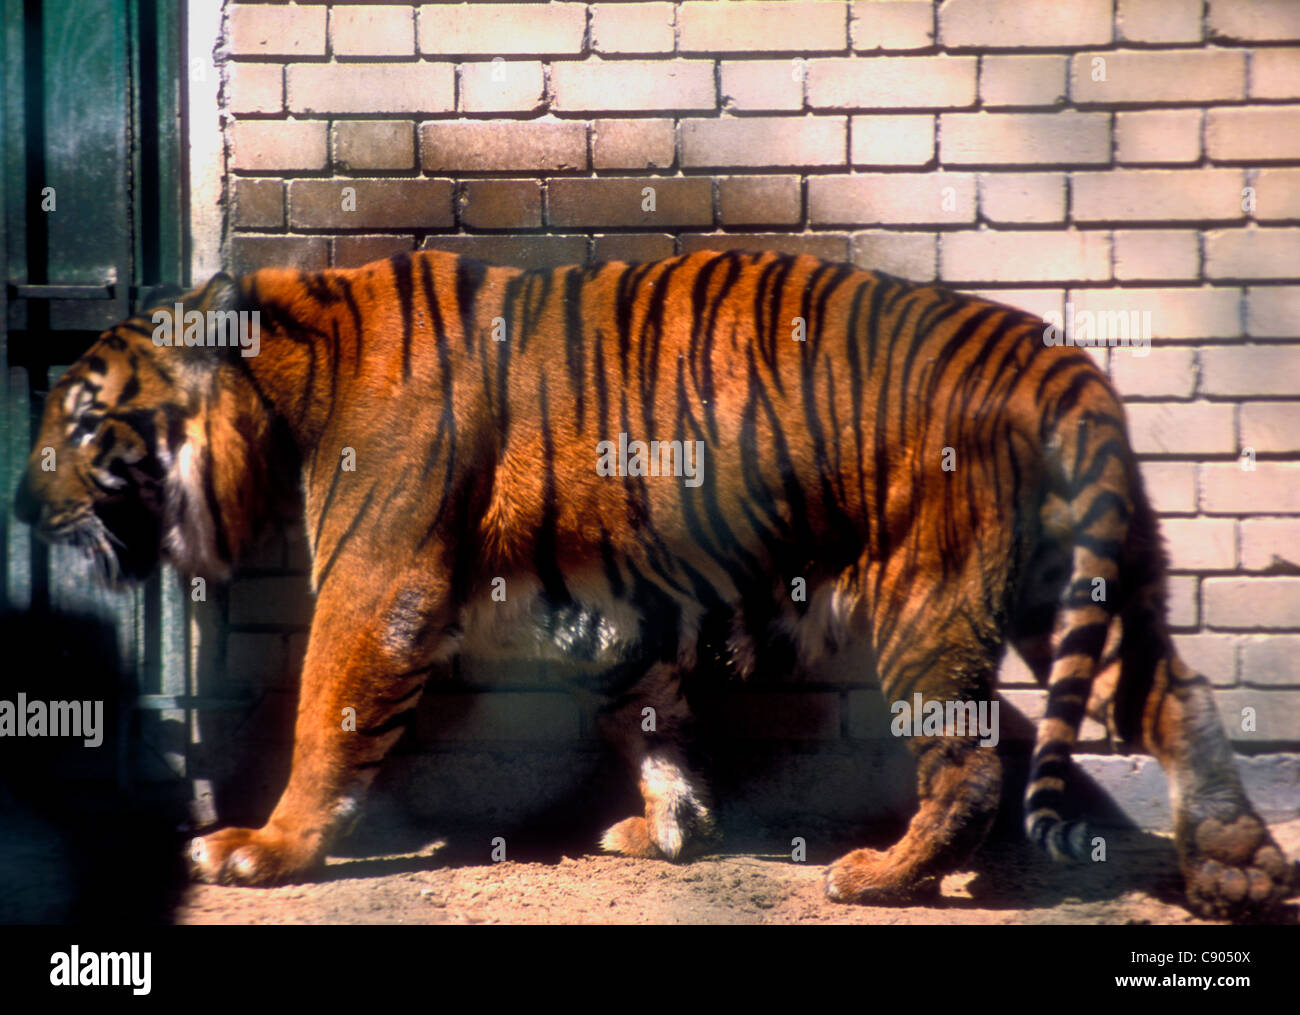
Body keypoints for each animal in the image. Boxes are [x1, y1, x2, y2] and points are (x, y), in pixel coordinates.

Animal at [13, 248, 1293, 919]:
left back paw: (880, 875)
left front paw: (261, 849)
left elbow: (326, 721)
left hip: (930, 596)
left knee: (973, 758)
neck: (287, 368)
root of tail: (1046, 349)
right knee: (1175, 698)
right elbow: (649, 715)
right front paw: (672, 830)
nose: (22, 509)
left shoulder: (375, 588)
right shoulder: (622, 594)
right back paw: (1237, 866)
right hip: (1071, 585)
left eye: (79, 422)